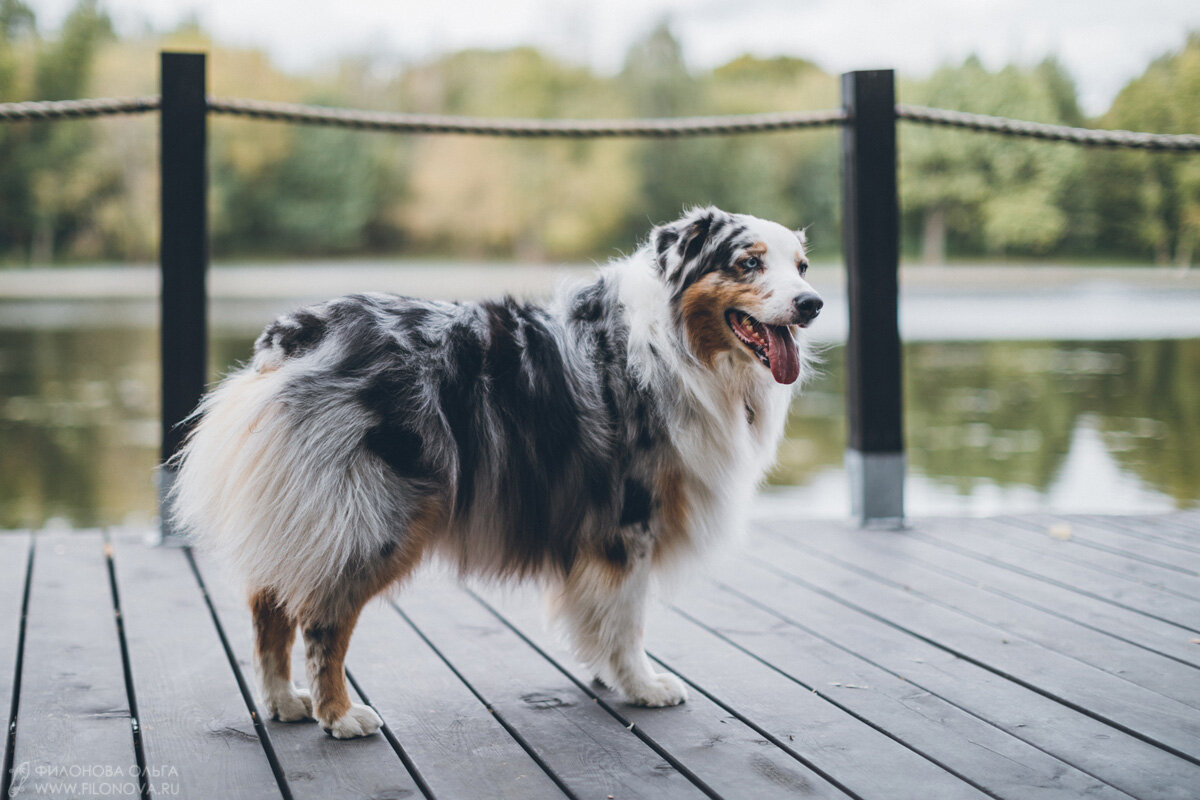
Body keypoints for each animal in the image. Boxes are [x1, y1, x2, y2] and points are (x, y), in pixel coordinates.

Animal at [169, 205, 820, 738]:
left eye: (803, 266)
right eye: (748, 263)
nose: (813, 303)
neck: (681, 347)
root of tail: (301, 333)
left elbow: (602, 616)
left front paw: (610, 675)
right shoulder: (628, 518)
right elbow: (628, 616)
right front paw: (642, 685)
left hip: (307, 507)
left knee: (268, 602)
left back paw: (284, 702)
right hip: (376, 516)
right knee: (323, 616)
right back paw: (341, 715)